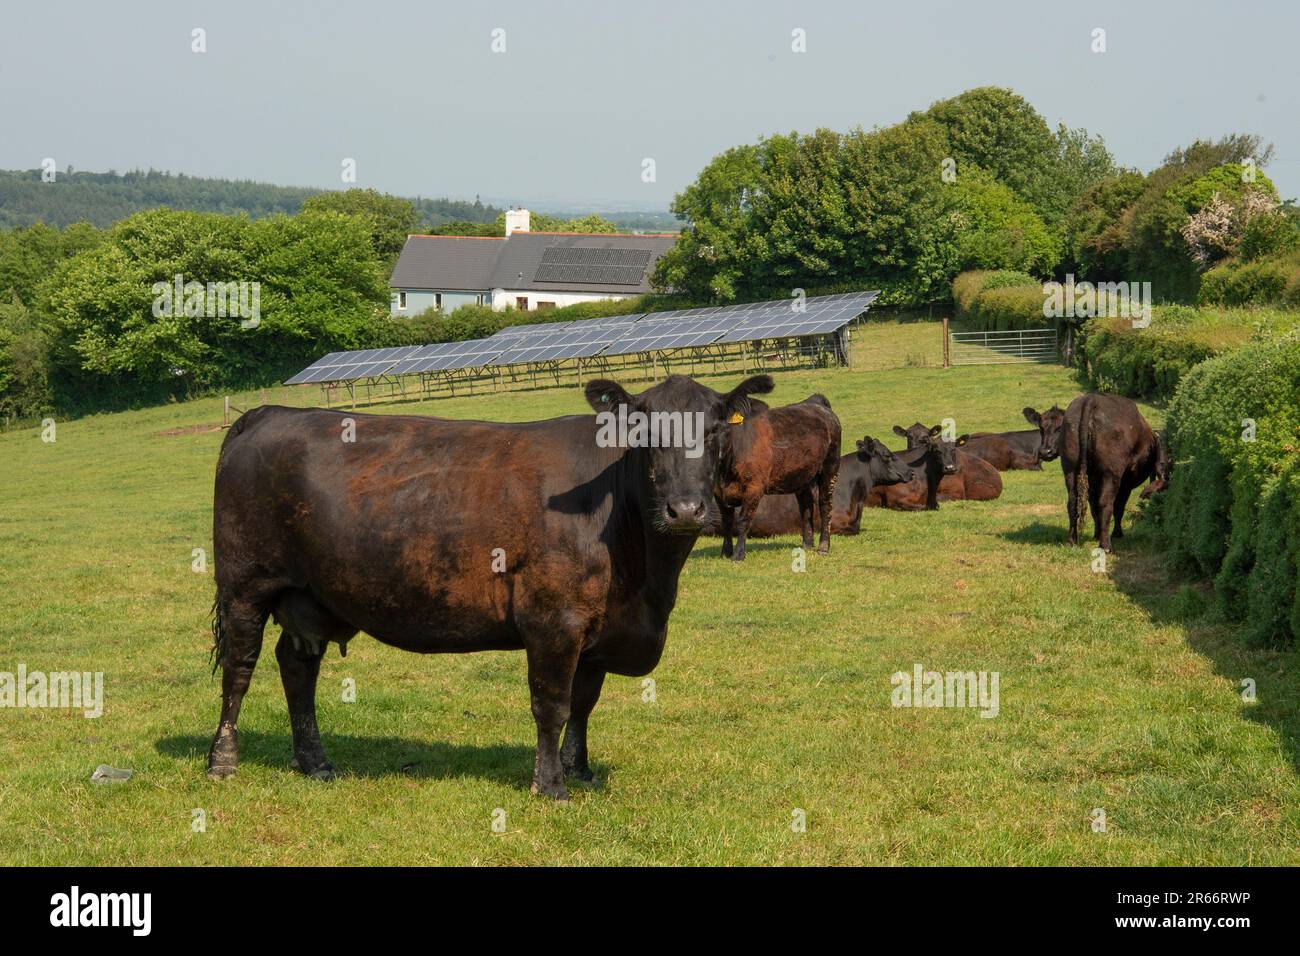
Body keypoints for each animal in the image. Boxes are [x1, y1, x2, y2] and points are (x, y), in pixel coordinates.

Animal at [206, 372, 775, 800]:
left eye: (717, 430)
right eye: (645, 433)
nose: (686, 509)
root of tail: (271, 412)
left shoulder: (595, 629)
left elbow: (584, 703)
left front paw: (580, 770)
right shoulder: (552, 621)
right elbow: (552, 703)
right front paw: (550, 785)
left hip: (312, 598)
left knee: (297, 668)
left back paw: (314, 762)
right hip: (245, 584)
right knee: (239, 668)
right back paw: (223, 760)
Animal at [714, 394, 842, 561]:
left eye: (724, 428)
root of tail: (815, 402)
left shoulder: (754, 488)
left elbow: (743, 522)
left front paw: (738, 554)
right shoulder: (718, 492)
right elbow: (727, 522)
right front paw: (725, 552)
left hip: (830, 466)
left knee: (825, 505)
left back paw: (823, 547)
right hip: (803, 475)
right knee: (806, 505)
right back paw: (807, 545)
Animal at [1024, 395, 1170, 551]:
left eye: (1058, 428)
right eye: (1041, 428)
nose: (1045, 452)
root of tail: (1091, 399)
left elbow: (1093, 507)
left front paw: (1096, 534)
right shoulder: (1124, 482)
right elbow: (1118, 507)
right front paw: (1116, 533)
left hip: (1070, 468)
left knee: (1073, 502)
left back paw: (1071, 541)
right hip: (1110, 473)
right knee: (1105, 504)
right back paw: (1106, 545)